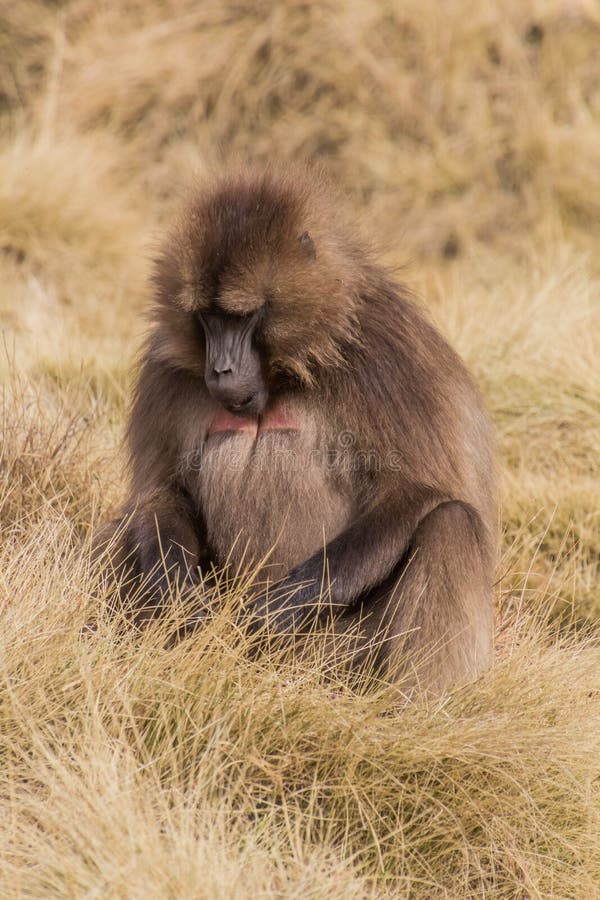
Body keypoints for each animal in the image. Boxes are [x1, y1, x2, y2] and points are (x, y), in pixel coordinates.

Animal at [99, 165, 497, 694]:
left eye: (242, 317)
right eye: (207, 318)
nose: (220, 369)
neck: (289, 368)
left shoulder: (389, 358)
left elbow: (413, 491)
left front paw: (271, 612)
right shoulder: (165, 370)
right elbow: (161, 492)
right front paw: (182, 599)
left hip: (334, 657)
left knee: (449, 523)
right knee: (123, 527)